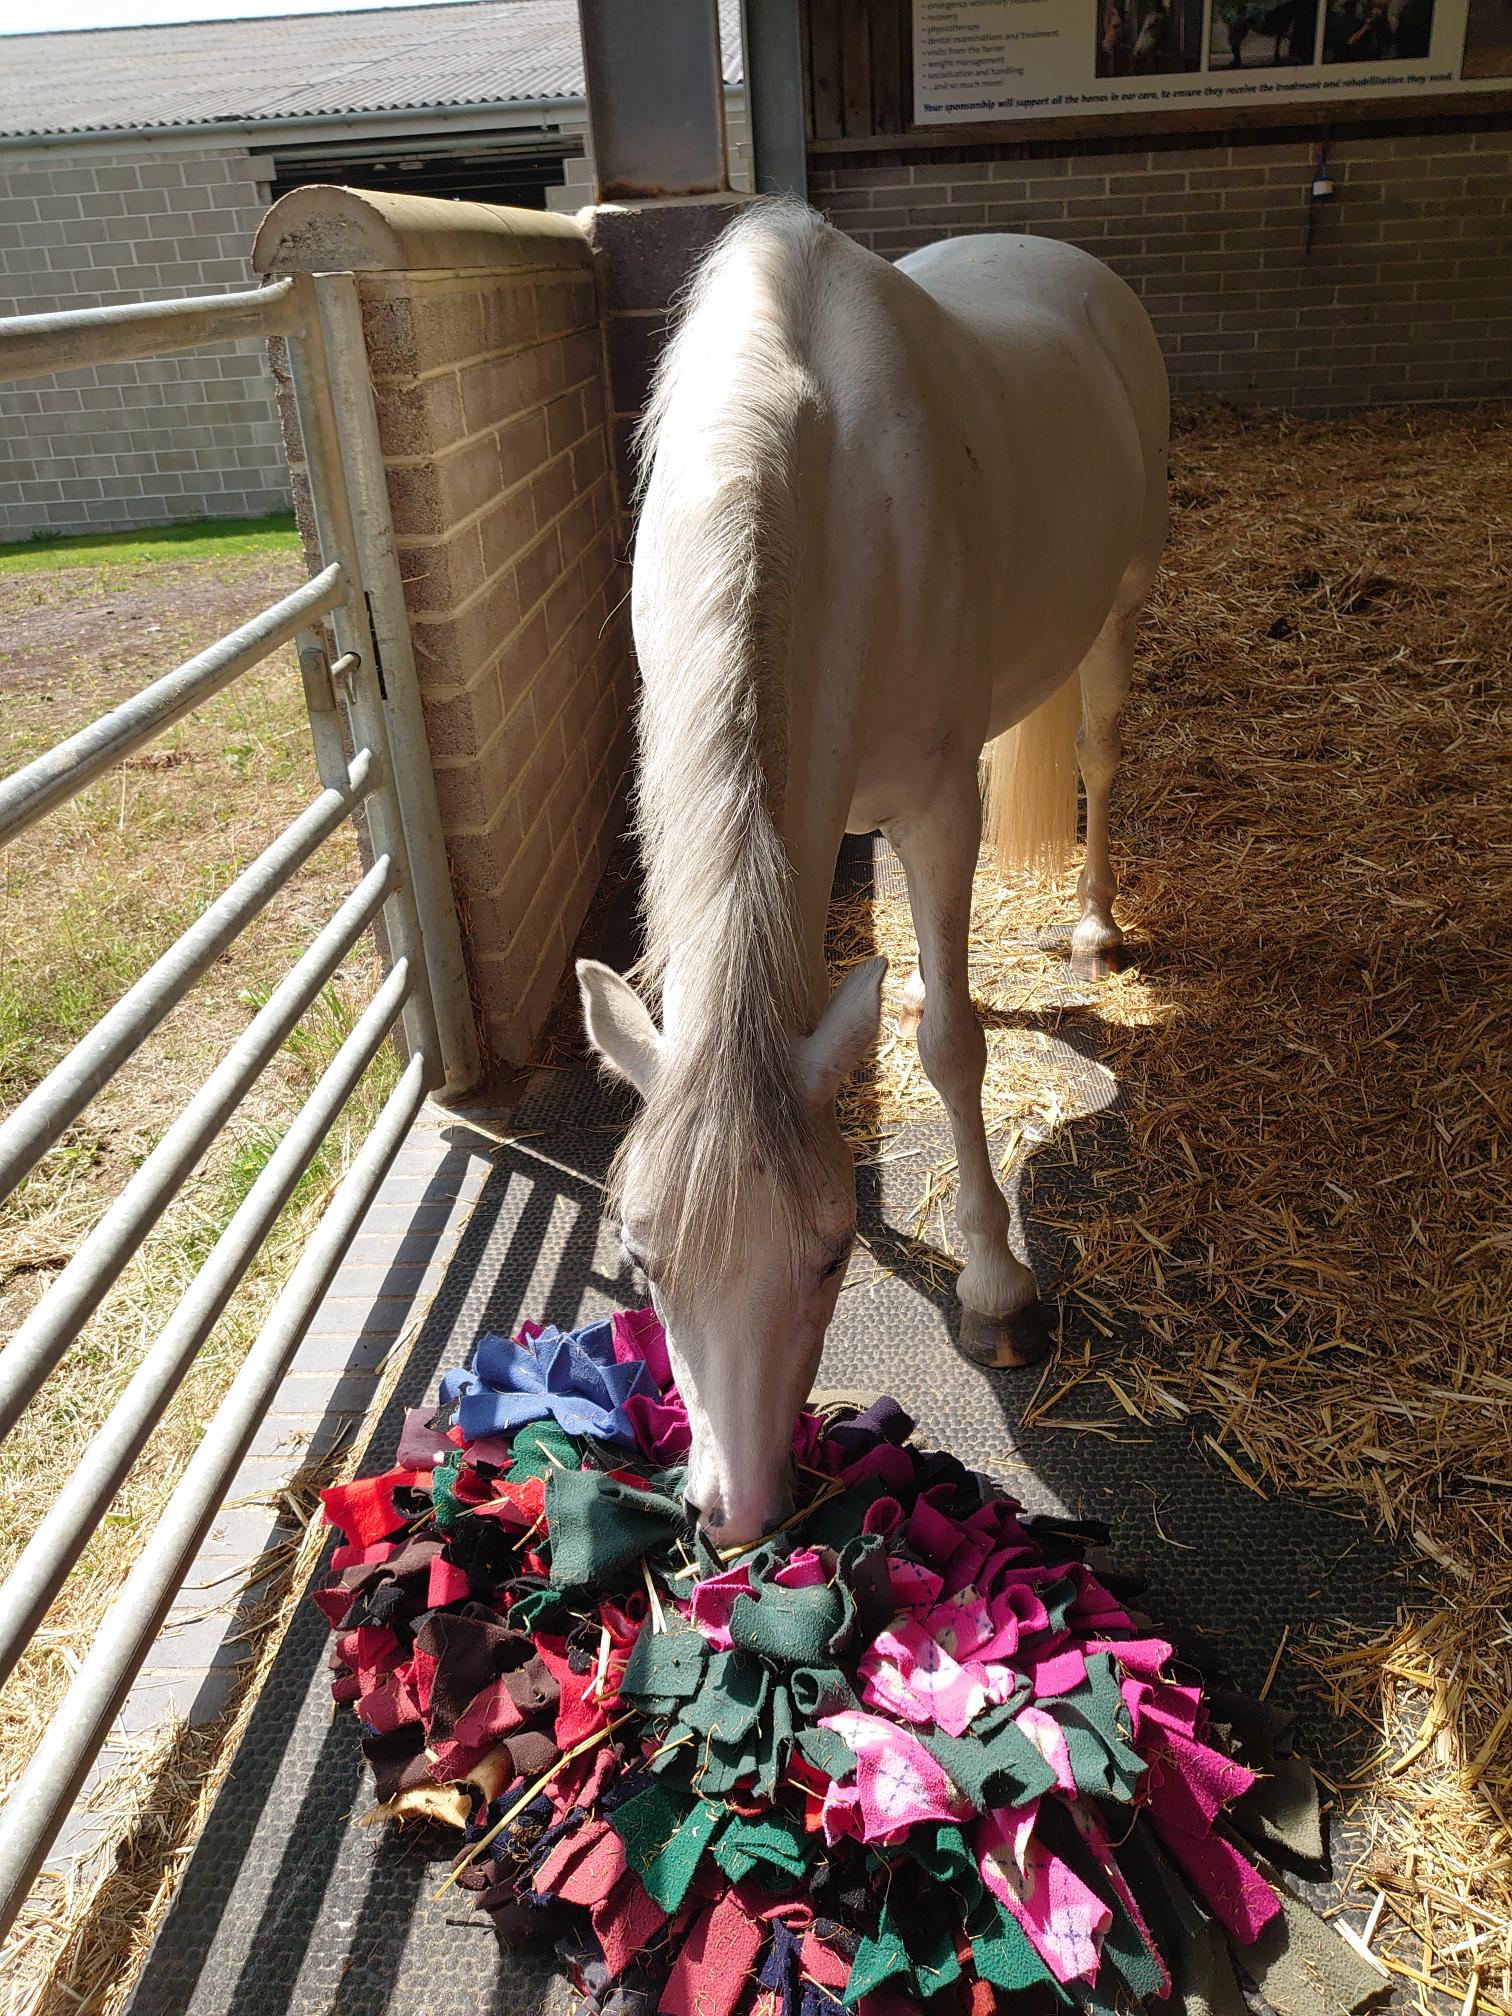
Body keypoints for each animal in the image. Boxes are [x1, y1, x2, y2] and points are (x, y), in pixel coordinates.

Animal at [577, 201, 1168, 1544]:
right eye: (642, 1260)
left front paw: (996, 1284)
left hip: (1118, 606)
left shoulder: (937, 812)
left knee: (1101, 752)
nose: (736, 1518)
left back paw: (1095, 926)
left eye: (832, 1254)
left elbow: (951, 1044)